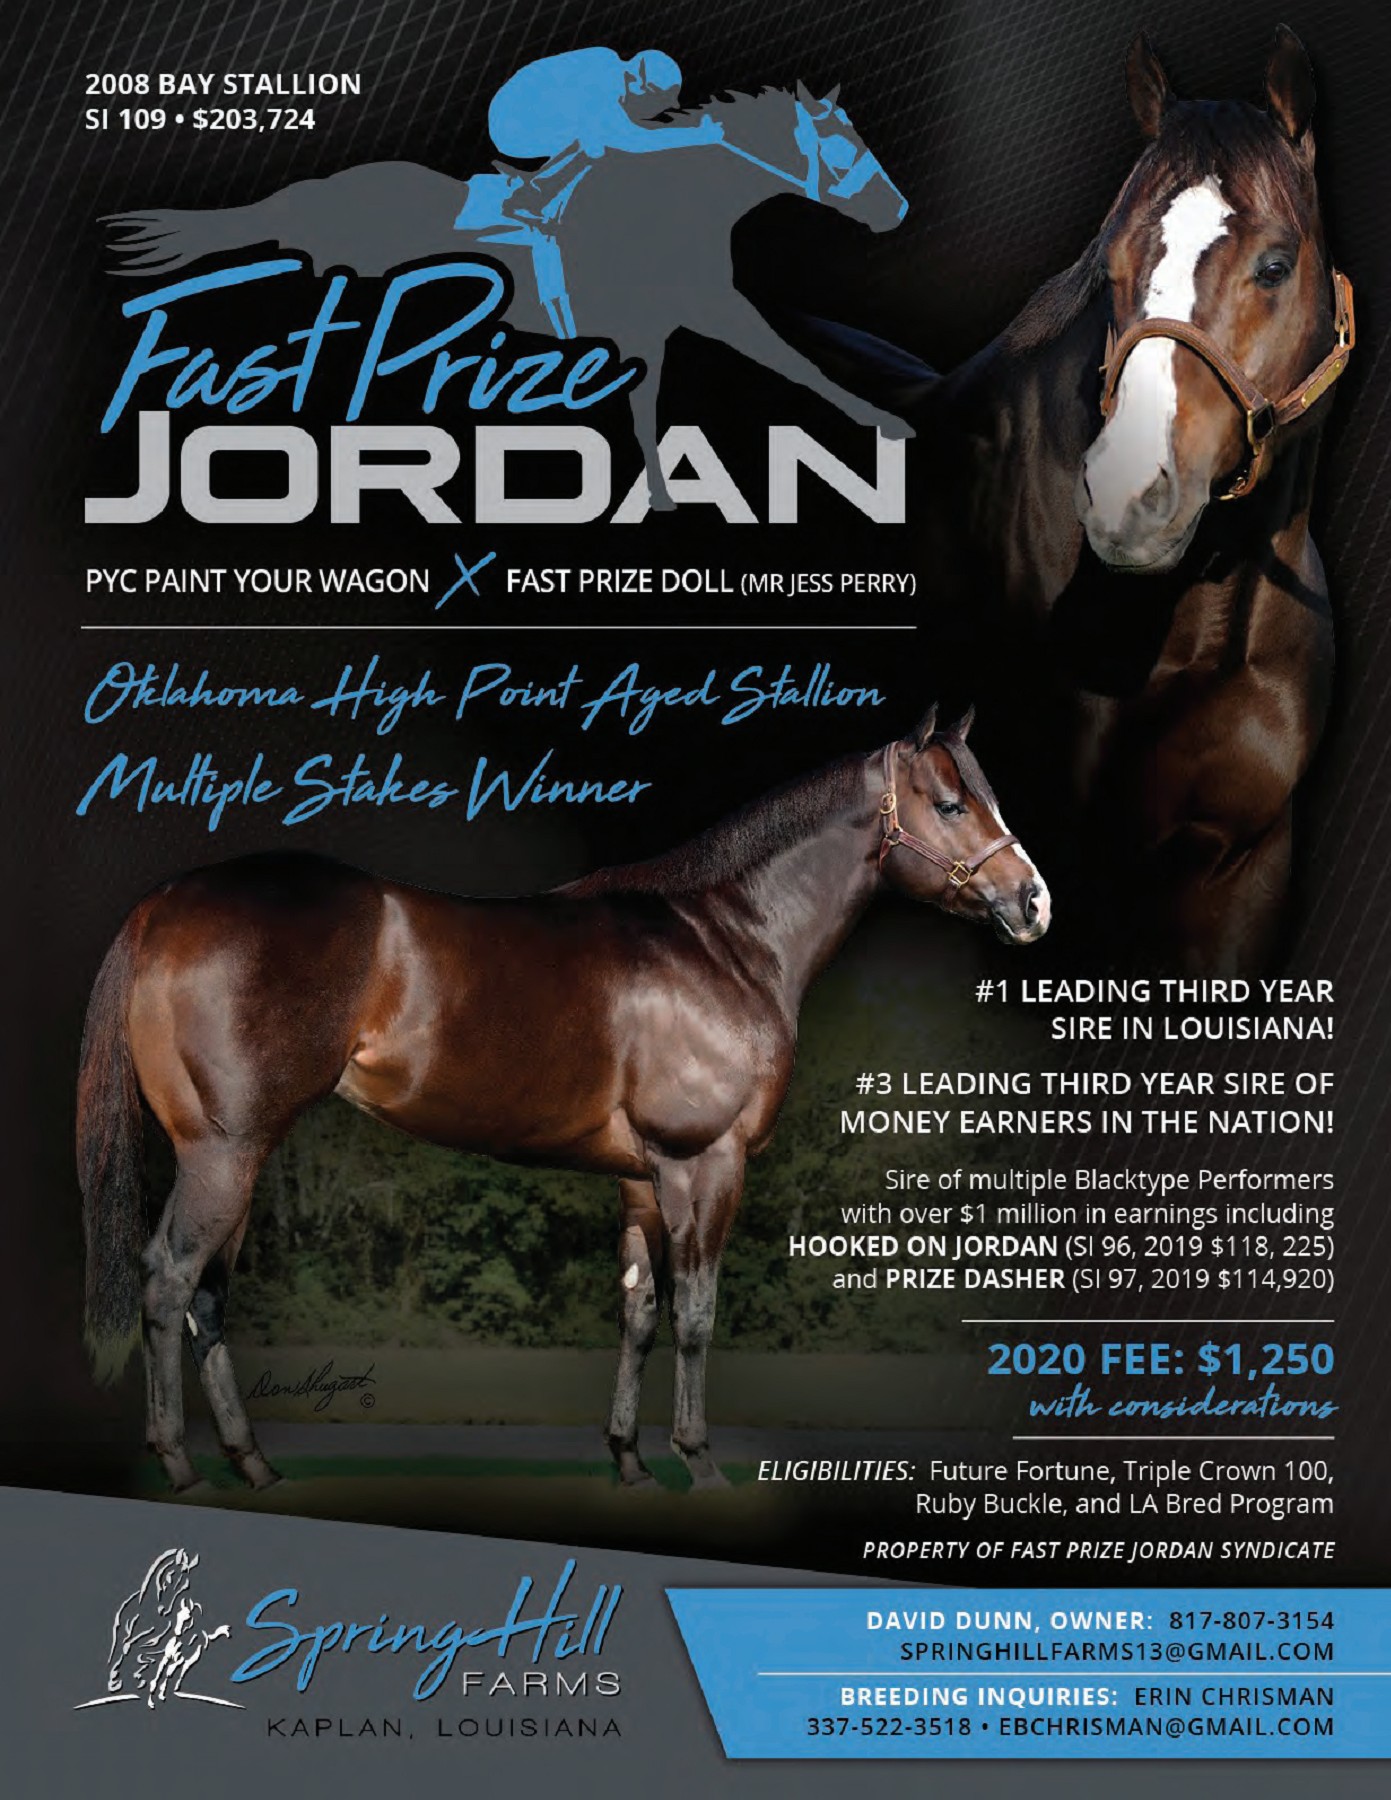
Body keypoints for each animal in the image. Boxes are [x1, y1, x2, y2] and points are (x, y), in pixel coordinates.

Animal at [77, 710, 1048, 1494]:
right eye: (950, 805)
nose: (1032, 902)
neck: (727, 940)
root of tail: (165, 906)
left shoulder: (643, 1179)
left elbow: (640, 1312)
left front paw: (629, 1461)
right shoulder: (705, 1163)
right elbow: (697, 1313)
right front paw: (700, 1463)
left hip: (235, 1153)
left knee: (207, 1296)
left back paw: (254, 1465)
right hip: (223, 1150)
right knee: (170, 1279)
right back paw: (182, 1466)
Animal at [104, 83, 911, 510]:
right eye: (844, 150)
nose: (897, 209)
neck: (670, 207)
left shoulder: (698, 313)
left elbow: (783, 367)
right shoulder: (677, 320)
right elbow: (695, 394)